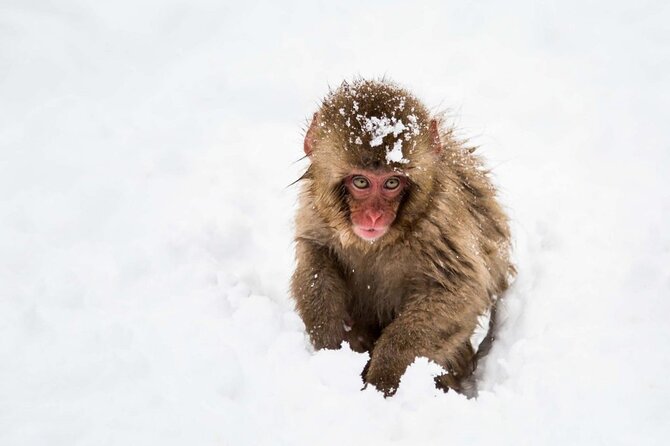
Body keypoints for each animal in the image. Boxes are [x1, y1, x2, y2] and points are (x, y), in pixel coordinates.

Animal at [291, 79, 514, 396]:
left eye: (392, 183)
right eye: (361, 182)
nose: (373, 217)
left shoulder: (441, 223)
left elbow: (458, 290)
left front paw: (383, 377)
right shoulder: (317, 213)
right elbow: (316, 258)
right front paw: (329, 346)